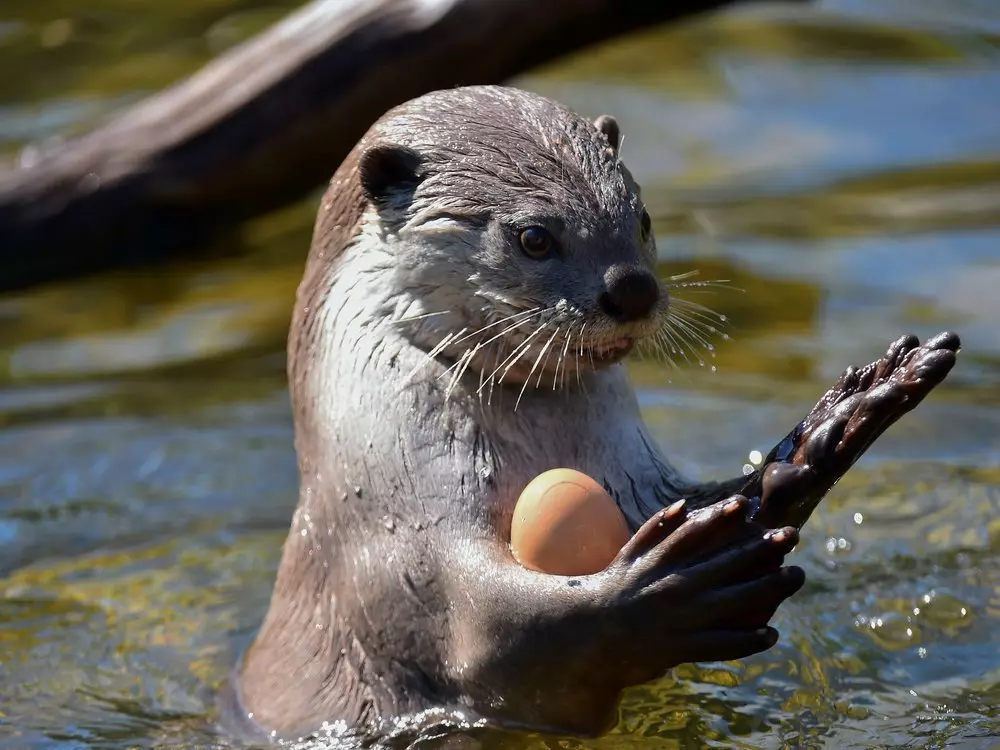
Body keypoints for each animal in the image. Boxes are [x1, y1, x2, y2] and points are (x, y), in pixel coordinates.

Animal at [232, 86, 960, 748]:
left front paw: (831, 429)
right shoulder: (401, 554)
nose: (632, 288)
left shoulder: (638, 479)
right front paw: (660, 592)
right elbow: (507, 642)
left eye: (641, 219)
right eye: (533, 237)